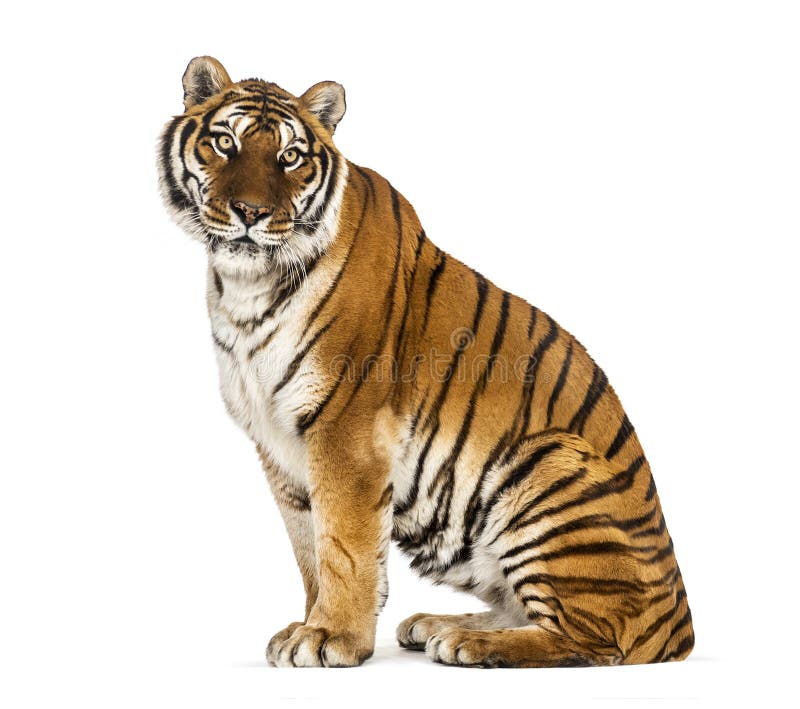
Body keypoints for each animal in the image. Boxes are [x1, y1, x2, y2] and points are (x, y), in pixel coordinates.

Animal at [157, 56, 694, 668]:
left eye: (289, 156)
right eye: (225, 142)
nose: (251, 212)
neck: (245, 287)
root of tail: (680, 624)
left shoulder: (346, 428)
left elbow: (342, 545)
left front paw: (332, 637)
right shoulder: (277, 444)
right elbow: (308, 548)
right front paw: (308, 626)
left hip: (546, 465)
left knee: (592, 641)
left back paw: (471, 642)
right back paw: (436, 624)